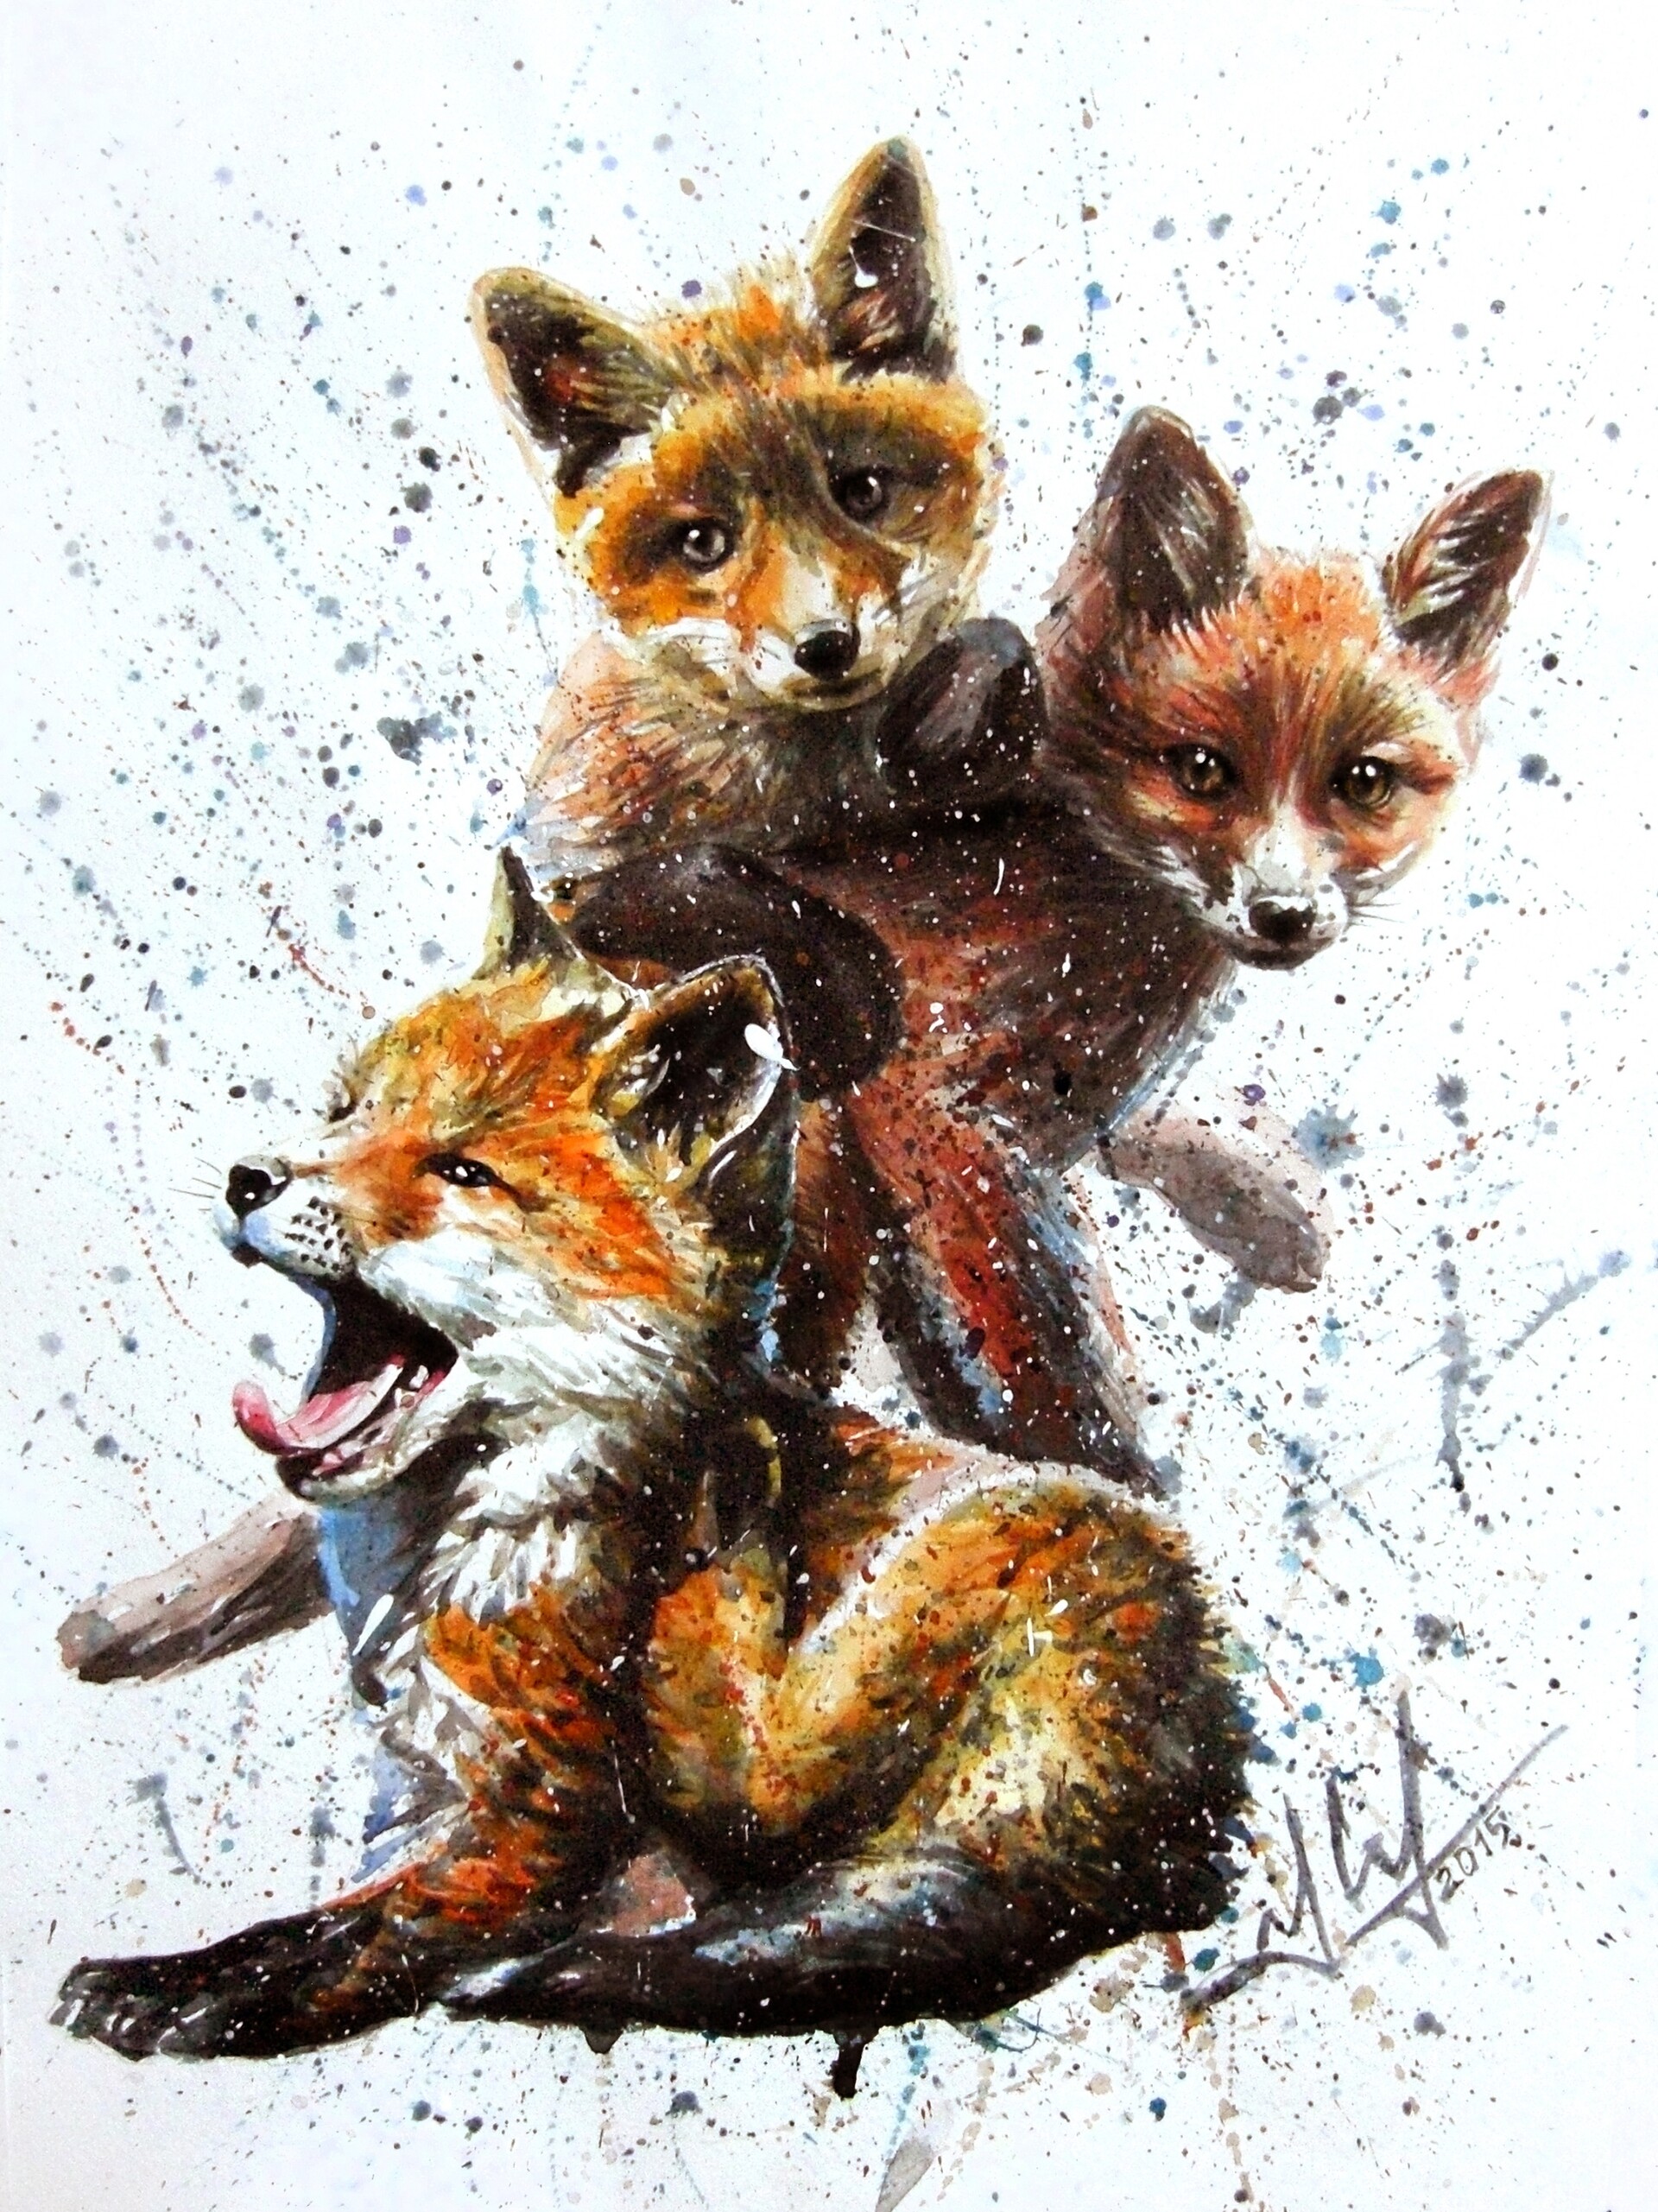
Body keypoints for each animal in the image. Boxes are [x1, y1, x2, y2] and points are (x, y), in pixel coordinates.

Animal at [55, 857, 1246, 2065]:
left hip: (847, 1699)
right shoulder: (431, 1783)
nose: (249, 1176)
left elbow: (344, 1936)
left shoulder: (522, 1822)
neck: (469, 1553)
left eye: (463, 1169)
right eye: (348, 1112)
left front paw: (185, 1988)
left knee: (858, 1897)